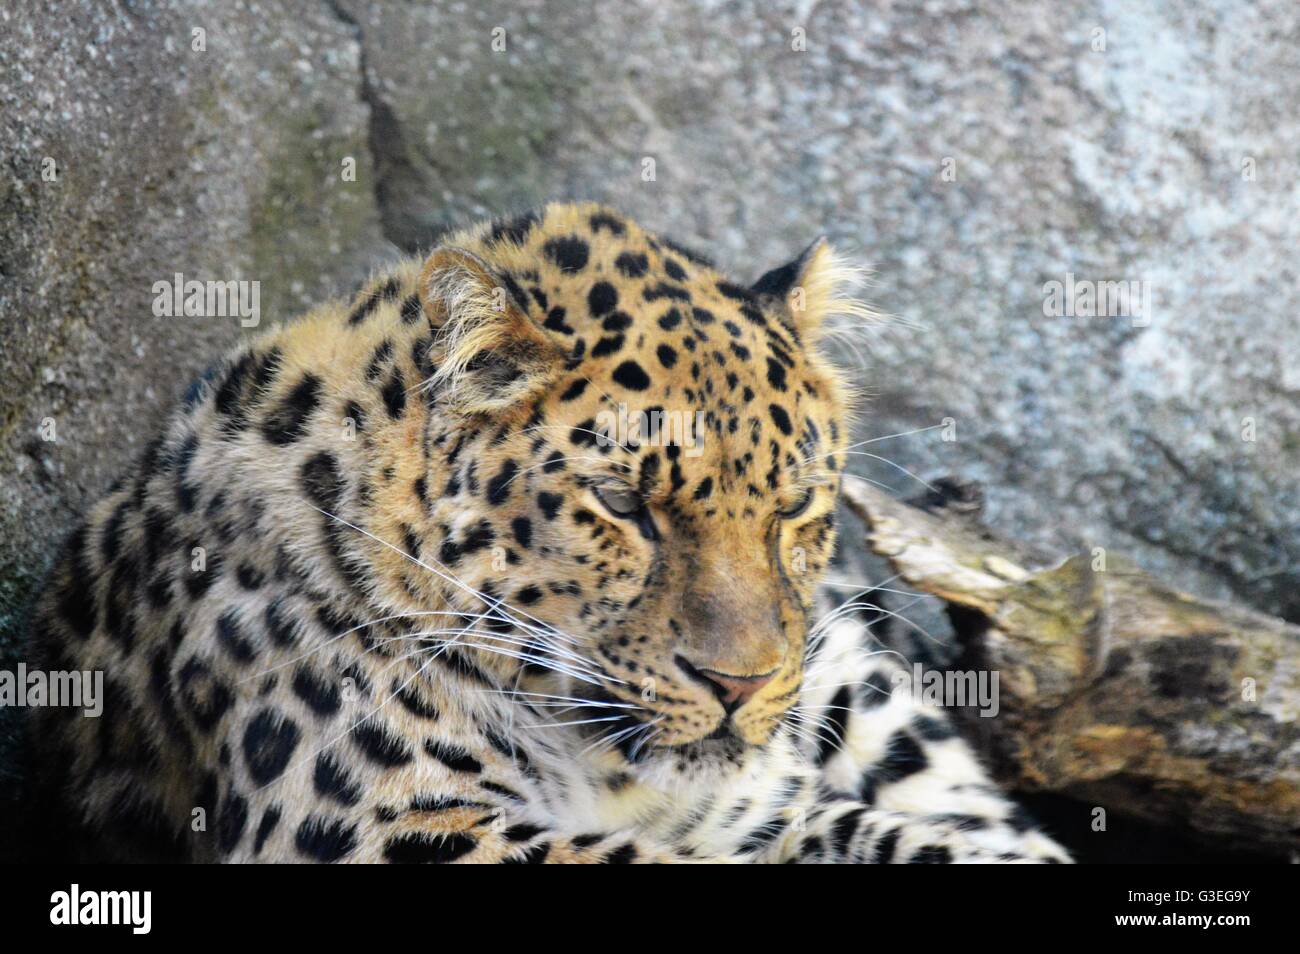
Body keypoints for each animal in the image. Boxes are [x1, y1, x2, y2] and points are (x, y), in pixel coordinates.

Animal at [26, 201, 1070, 863]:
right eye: (623, 503)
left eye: (792, 507)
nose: (740, 685)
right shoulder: (383, 826)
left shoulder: (759, 809)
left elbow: (878, 834)